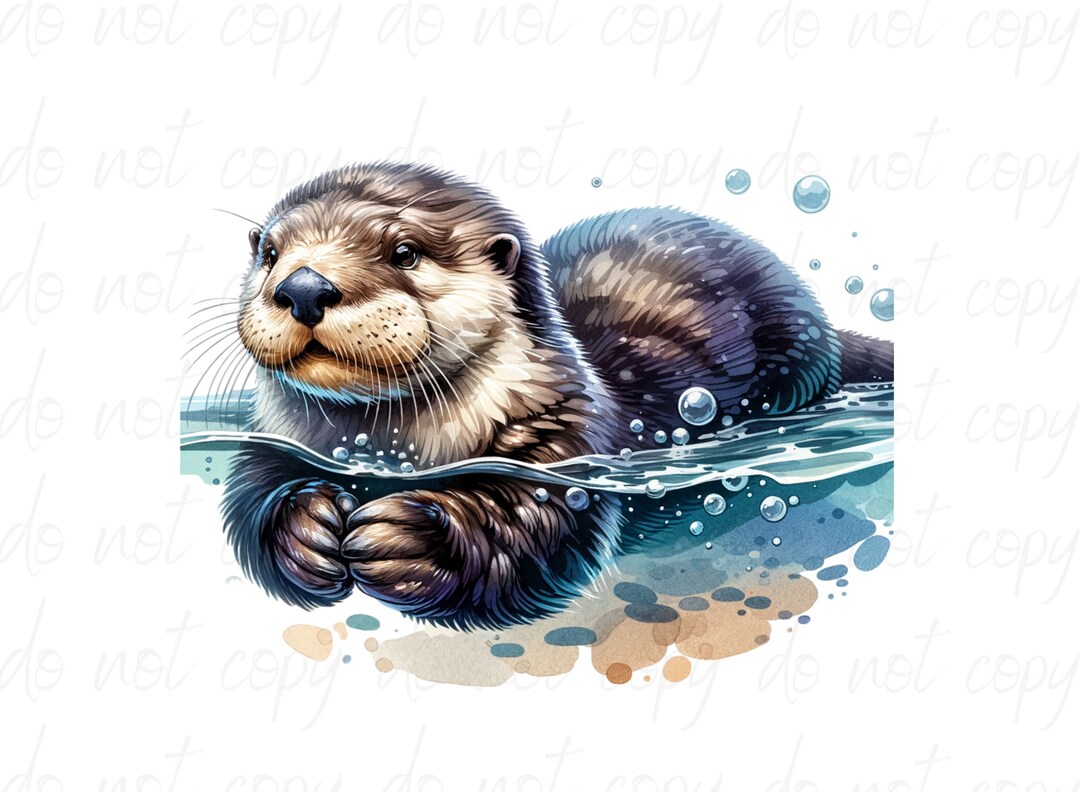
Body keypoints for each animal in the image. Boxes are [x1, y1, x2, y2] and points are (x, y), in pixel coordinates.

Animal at [220, 161, 892, 630]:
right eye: (270, 252)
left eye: (404, 251)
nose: (304, 287)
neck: (387, 451)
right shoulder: (270, 442)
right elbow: (252, 497)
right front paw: (304, 526)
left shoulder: (566, 449)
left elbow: (536, 531)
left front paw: (413, 539)